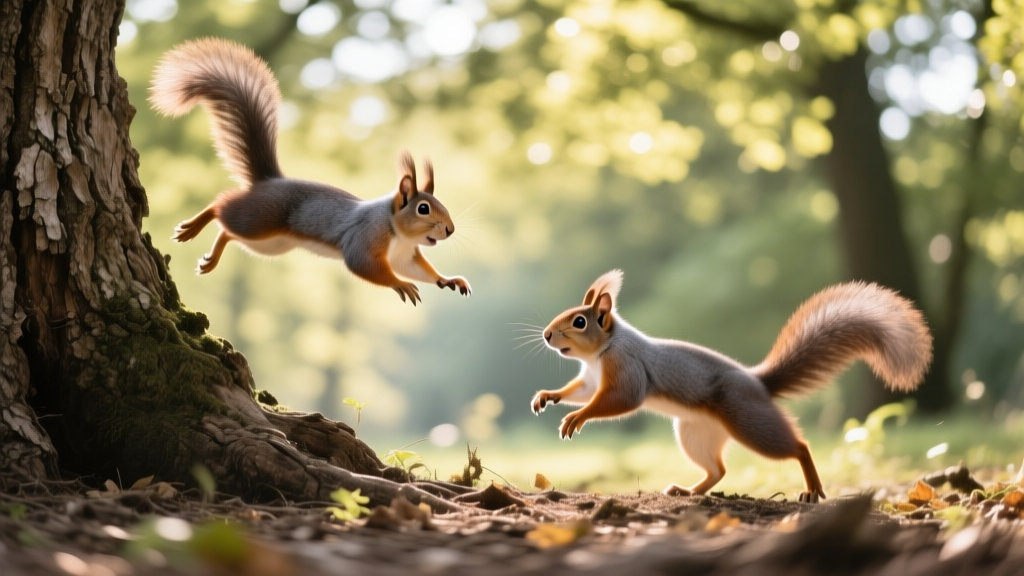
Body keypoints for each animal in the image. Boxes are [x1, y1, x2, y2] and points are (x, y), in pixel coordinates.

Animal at [148, 38, 470, 305]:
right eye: (423, 208)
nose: (450, 229)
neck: (398, 232)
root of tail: (270, 180)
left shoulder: (406, 256)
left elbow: (420, 270)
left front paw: (448, 279)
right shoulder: (364, 238)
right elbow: (363, 265)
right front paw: (400, 283)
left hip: (270, 245)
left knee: (228, 233)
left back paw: (211, 259)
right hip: (259, 219)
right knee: (220, 208)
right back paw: (193, 226)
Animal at [530, 270, 932, 502]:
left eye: (580, 321)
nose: (547, 335)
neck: (601, 353)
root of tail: (759, 383)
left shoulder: (627, 368)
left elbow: (619, 400)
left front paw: (578, 418)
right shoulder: (590, 378)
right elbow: (579, 392)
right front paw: (548, 397)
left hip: (748, 419)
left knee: (797, 447)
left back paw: (812, 489)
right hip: (695, 432)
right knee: (717, 471)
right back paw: (686, 491)